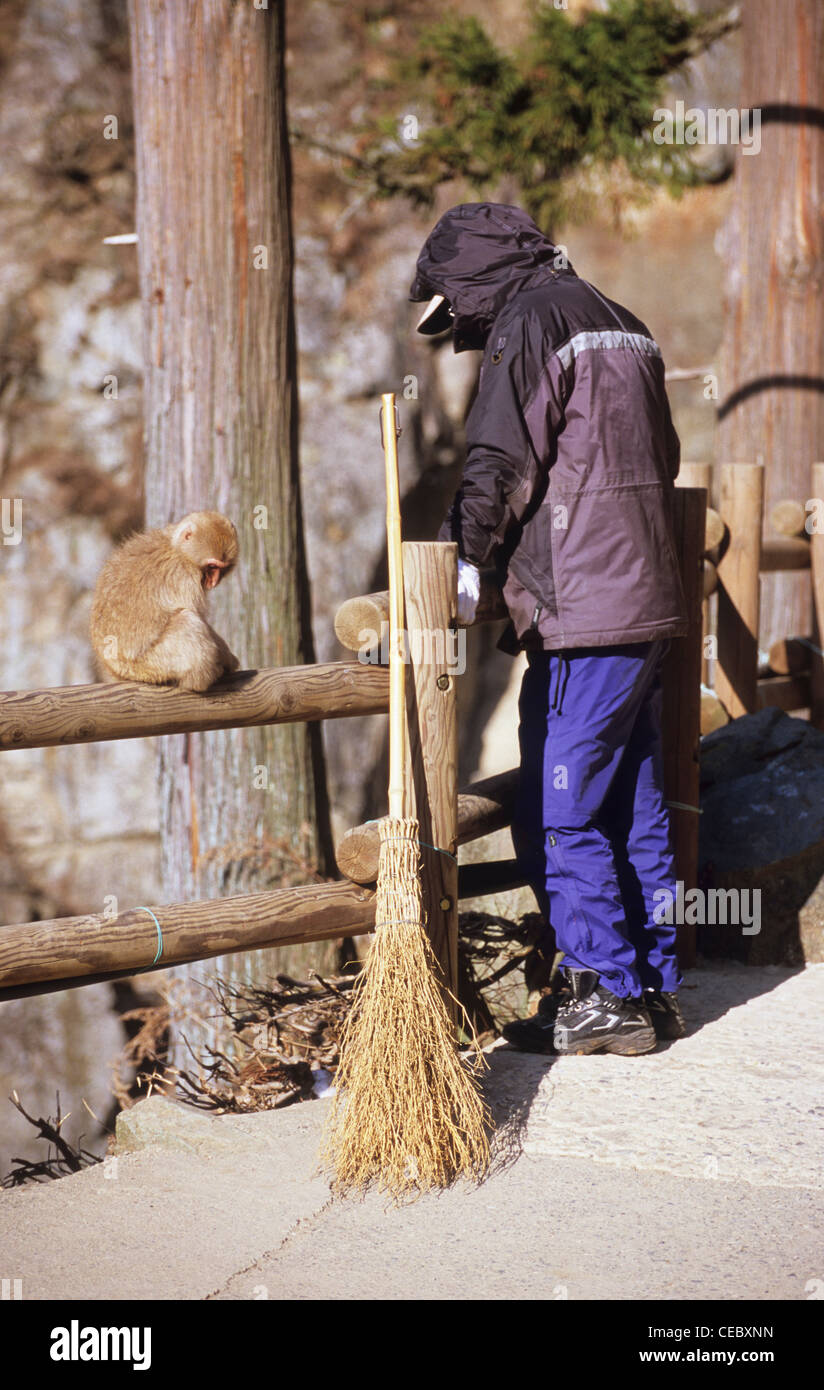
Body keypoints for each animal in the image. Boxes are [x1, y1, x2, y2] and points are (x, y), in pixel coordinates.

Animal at [90, 511, 241, 692]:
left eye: (223, 569)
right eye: (212, 567)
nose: (213, 581)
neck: (177, 549)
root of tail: (114, 670)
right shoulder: (184, 576)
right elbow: (199, 617)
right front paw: (228, 659)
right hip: (151, 665)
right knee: (187, 621)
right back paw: (199, 681)